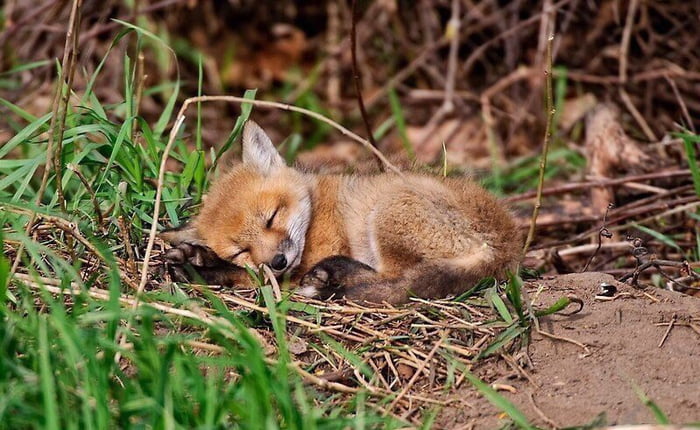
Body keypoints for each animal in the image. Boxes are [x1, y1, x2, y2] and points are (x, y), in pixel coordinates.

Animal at [161, 120, 523, 304]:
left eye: (271, 217)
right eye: (241, 249)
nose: (278, 260)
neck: (318, 200)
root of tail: (507, 245)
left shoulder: (314, 254)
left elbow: (253, 277)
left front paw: (204, 270)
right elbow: (250, 271)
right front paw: (196, 257)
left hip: (387, 213)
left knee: (394, 283)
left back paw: (332, 281)